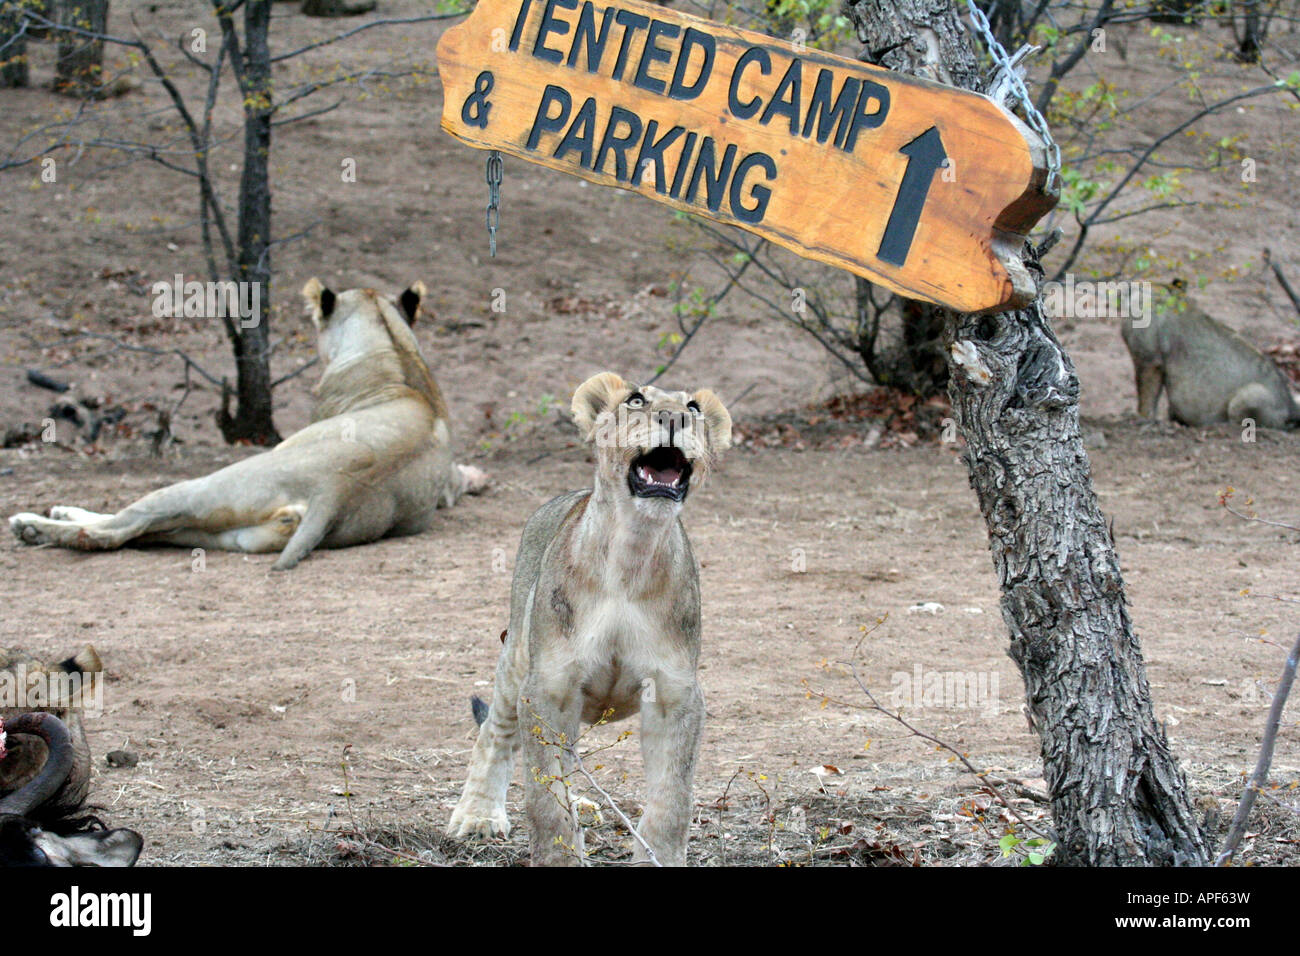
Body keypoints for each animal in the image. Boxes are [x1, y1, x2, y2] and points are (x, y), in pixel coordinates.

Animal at [9, 280, 487, 569]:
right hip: (228, 533)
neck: (395, 350)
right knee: (142, 533)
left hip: (207, 488)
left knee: (113, 531)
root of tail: (336, 488)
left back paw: (33, 524)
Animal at [447, 371, 731, 866]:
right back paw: (477, 816)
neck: (631, 554)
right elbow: (545, 801)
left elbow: (672, 802)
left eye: (694, 408)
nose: (675, 418)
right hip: (516, 661)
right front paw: (560, 854)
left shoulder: (674, 694)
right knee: (494, 735)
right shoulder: (548, 687)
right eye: (635, 400)